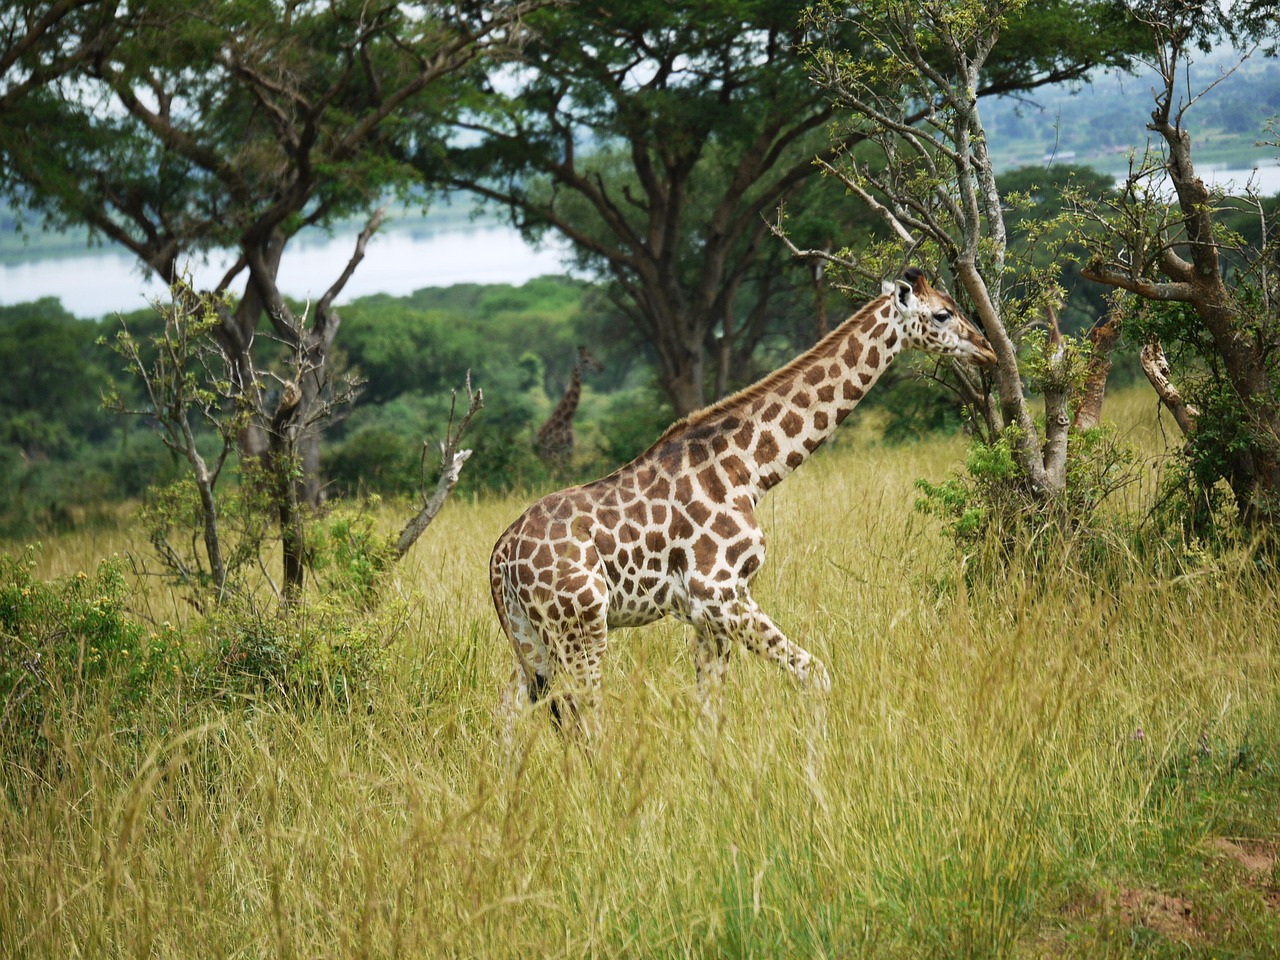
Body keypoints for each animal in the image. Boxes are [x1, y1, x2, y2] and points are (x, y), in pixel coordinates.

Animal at [491, 269, 996, 735]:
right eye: (943, 313)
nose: (988, 349)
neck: (749, 472)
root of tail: (500, 558)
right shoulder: (720, 594)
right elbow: (816, 675)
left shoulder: (706, 615)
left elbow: (709, 710)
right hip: (580, 626)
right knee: (587, 717)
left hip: (531, 640)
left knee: (510, 713)